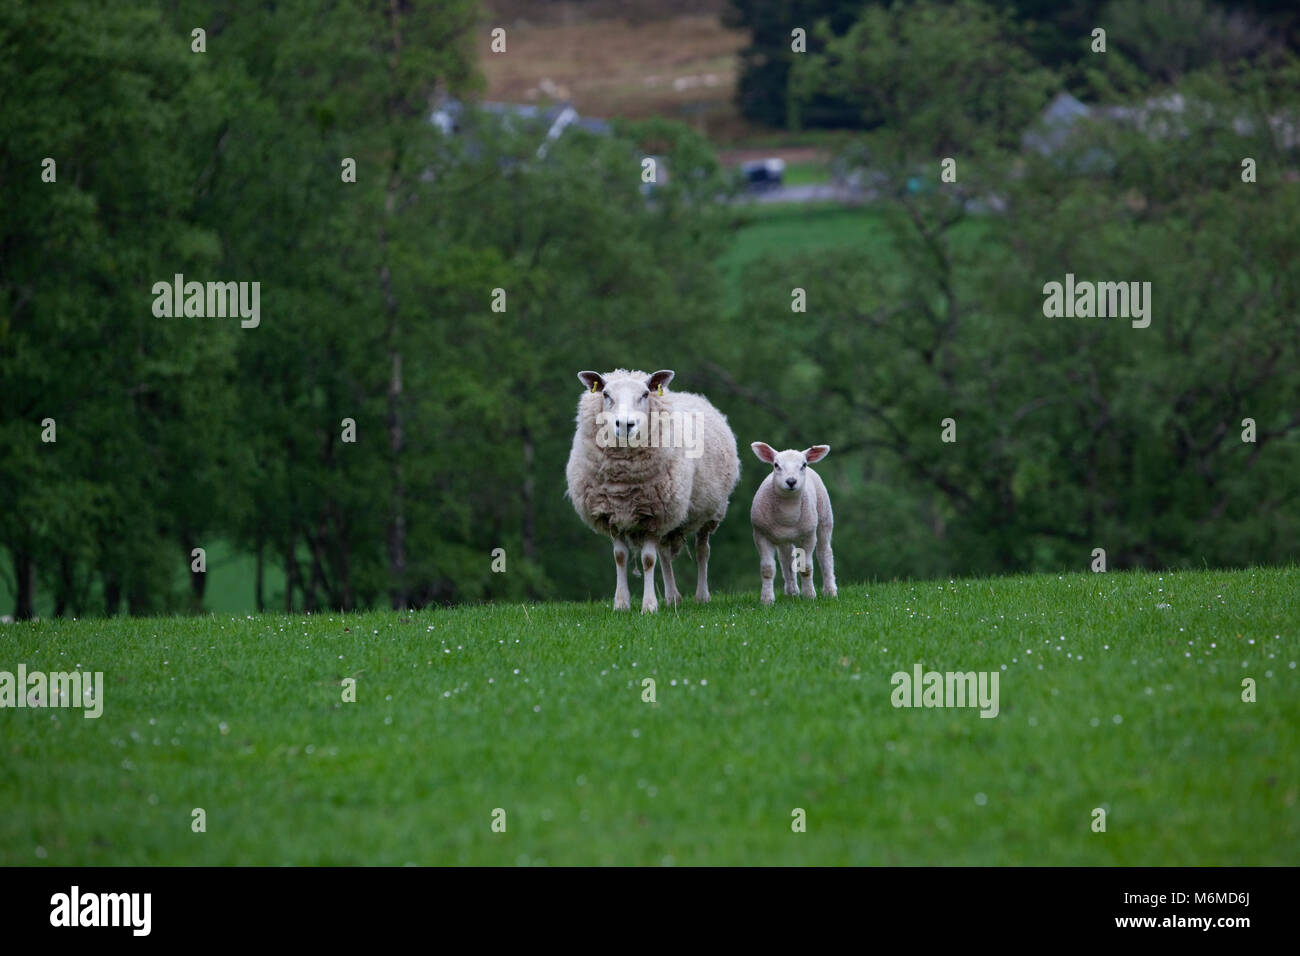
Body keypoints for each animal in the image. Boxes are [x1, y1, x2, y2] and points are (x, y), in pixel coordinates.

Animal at [565, 368, 741, 613]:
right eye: (606, 394)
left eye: (645, 394)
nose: (625, 424)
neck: (623, 483)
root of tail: (693, 395)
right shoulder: (613, 516)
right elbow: (620, 557)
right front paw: (621, 603)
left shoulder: (653, 515)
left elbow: (648, 560)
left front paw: (648, 606)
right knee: (665, 553)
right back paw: (672, 597)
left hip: (710, 511)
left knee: (702, 550)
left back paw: (701, 596)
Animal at [749, 442, 837, 605]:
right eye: (776, 465)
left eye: (803, 465)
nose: (791, 481)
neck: (788, 514)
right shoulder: (761, 534)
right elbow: (767, 569)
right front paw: (766, 600)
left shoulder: (809, 536)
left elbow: (806, 568)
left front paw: (809, 595)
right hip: (784, 538)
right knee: (786, 559)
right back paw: (792, 592)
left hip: (824, 518)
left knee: (825, 553)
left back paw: (830, 591)